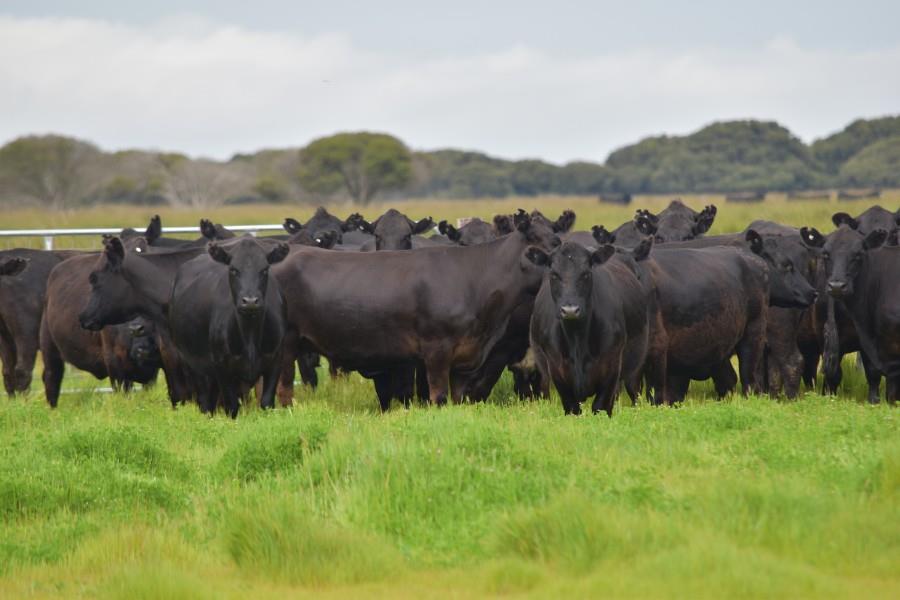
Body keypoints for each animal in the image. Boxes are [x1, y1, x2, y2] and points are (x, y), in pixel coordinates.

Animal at [167, 237, 289, 417]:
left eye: (265, 269)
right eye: (233, 270)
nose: (250, 301)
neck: (249, 333)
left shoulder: (276, 360)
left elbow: (266, 402)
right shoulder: (222, 365)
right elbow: (232, 407)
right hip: (193, 364)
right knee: (205, 402)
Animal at [527, 241, 650, 415]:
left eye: (585, 274)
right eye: (554, 275)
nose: (570, 310)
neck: (577, 338)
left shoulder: (611, 366)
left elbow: (601, 407)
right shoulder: (557, 370)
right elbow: (572, 408)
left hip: (636, 366)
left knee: (634, 392)